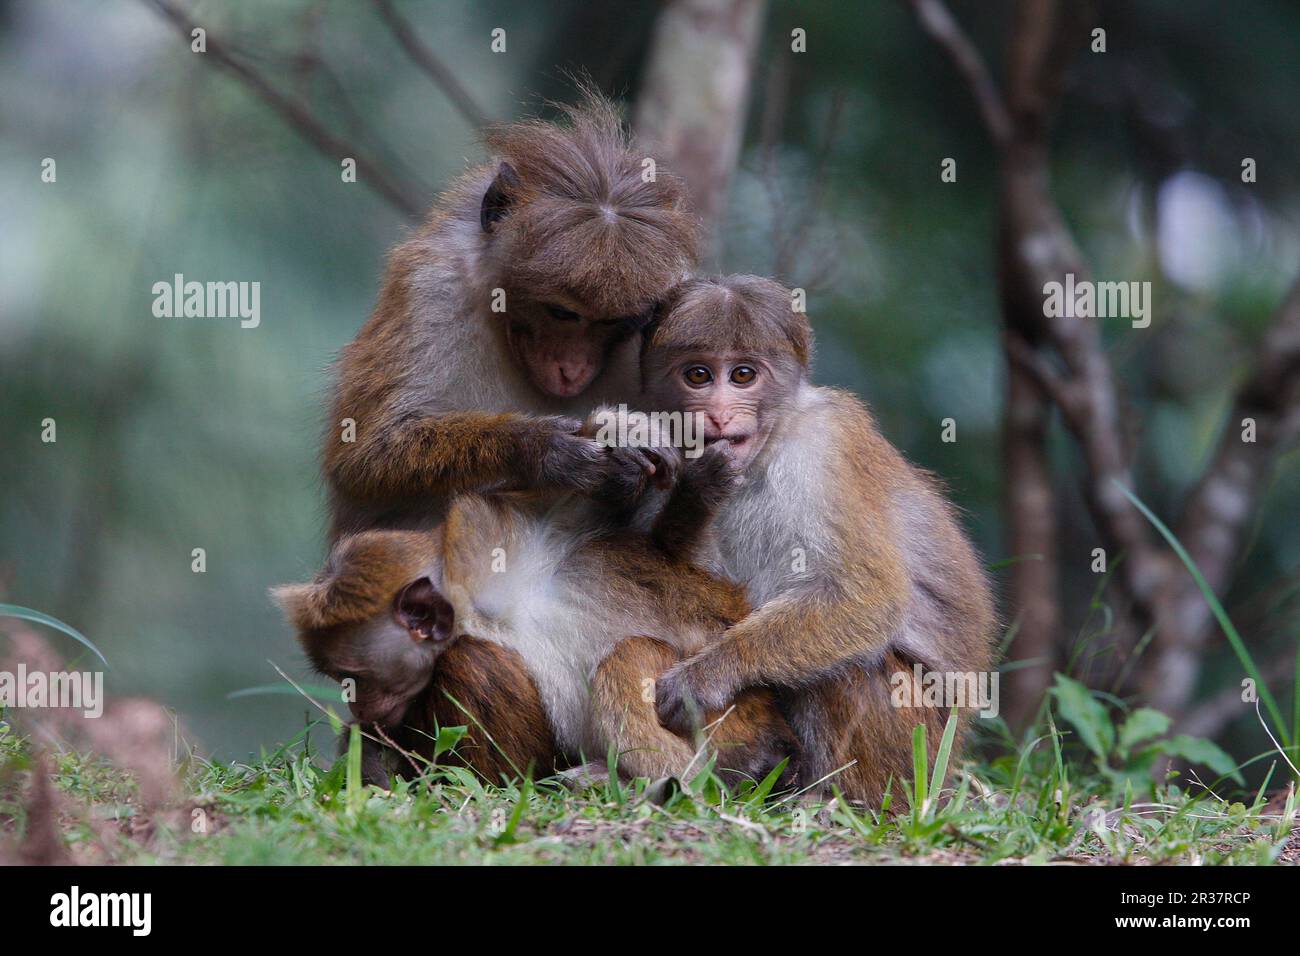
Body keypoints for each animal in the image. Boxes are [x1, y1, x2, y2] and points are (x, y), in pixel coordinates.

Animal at [276, 443, 797, 788]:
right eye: (343, 681)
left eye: (356, 678)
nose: (360, 707)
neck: (470, 608)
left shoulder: (496, 544)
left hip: (730, 727)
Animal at [324, 88, 700, 541]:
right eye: (562, 312)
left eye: (613, 321)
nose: (573, 369)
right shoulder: (431, 285)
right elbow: (366, 455)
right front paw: (541, 448)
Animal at [638, 275, 996, 807]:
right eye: (698, 375)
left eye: (743, 375)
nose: (720, 414)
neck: (769, 446)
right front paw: (693, 499)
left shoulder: (824, 446)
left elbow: (866, 598)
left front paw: (708, 675)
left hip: (914, 756)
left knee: (846, 668)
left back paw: (825, 799)